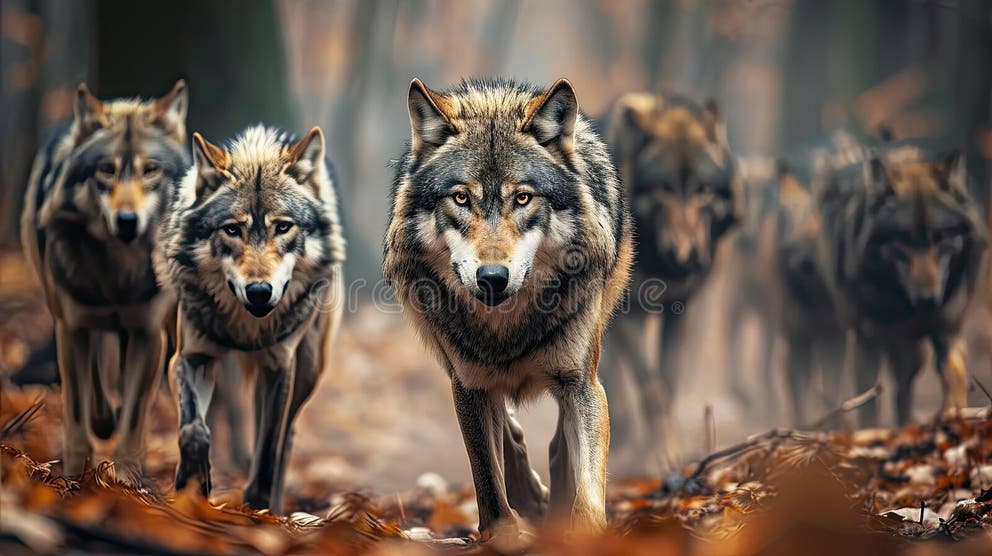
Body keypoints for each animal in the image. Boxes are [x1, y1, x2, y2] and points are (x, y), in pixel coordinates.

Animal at [20, 80, 188, 485]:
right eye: (106, 170)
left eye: (150, 170)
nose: (126, 221)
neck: (118, 276)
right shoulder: (71, 327)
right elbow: (79, 410)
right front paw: (74, 477)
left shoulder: (148, 333)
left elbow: (135, 415)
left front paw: (127, 481)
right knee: (96, 381)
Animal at [155, 125, 345, 513]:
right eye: (232, 230)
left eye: (283, 227)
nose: (259, 291)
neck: (246, 330)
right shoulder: (190, 357)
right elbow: (193, 429)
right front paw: (192, 485)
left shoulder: (279, 367)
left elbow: (270, 448)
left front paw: (257, 507)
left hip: (306, 371)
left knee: (286, 437)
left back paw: (276, 505)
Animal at [383, 77, 632, 535]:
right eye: (461, 198)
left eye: (522, 198)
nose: (493, 277)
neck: (506, 328)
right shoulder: (469, 386)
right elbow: (488, 484)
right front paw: (504, 533)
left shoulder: (581, 383)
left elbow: (588, 489)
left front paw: (582, 531)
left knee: (556, 445)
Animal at [597, 93, 739, 454]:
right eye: (661, 189)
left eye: (704, 190)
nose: (685, 256)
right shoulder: (627, 311)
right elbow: (651, 387)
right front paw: (663, 454)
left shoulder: (679, 310)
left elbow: (669, 382)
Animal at [816, 140, 987, 425]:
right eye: (902, 240)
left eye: (941, 237)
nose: (928, 301)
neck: (901, 305)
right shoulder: (867, 342)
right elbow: (868, 406)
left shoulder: (947, 332)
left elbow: (953, 387)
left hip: (916, 352)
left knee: (905, 389)